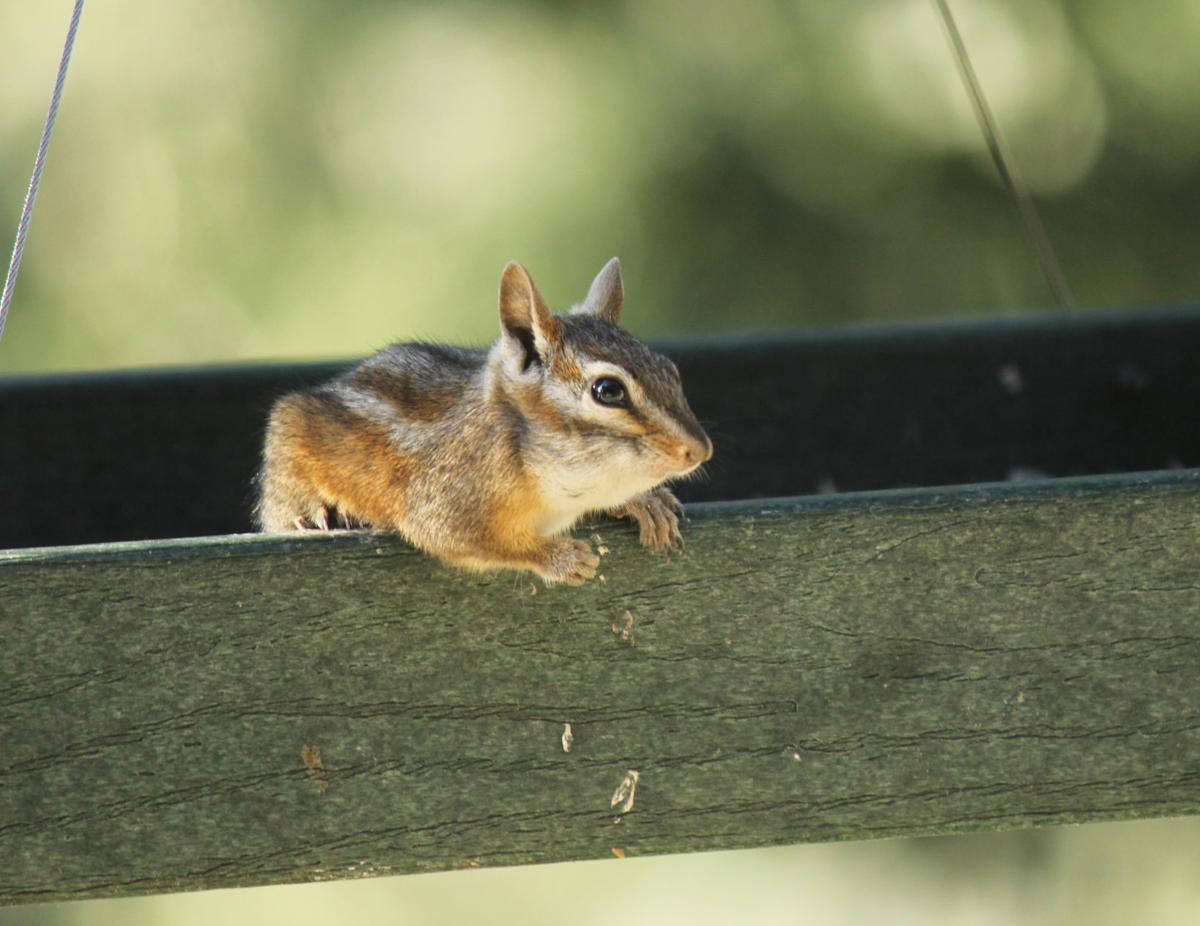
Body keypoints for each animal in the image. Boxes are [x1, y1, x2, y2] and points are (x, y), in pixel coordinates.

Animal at [255, 258, 713, 586]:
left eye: (670, 370)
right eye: (608, 391)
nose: (700, 450)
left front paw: (646, 503)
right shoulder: (449, 502)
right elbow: (467, 541)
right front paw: (560, 558)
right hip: (292, 434)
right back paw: (311, 512)